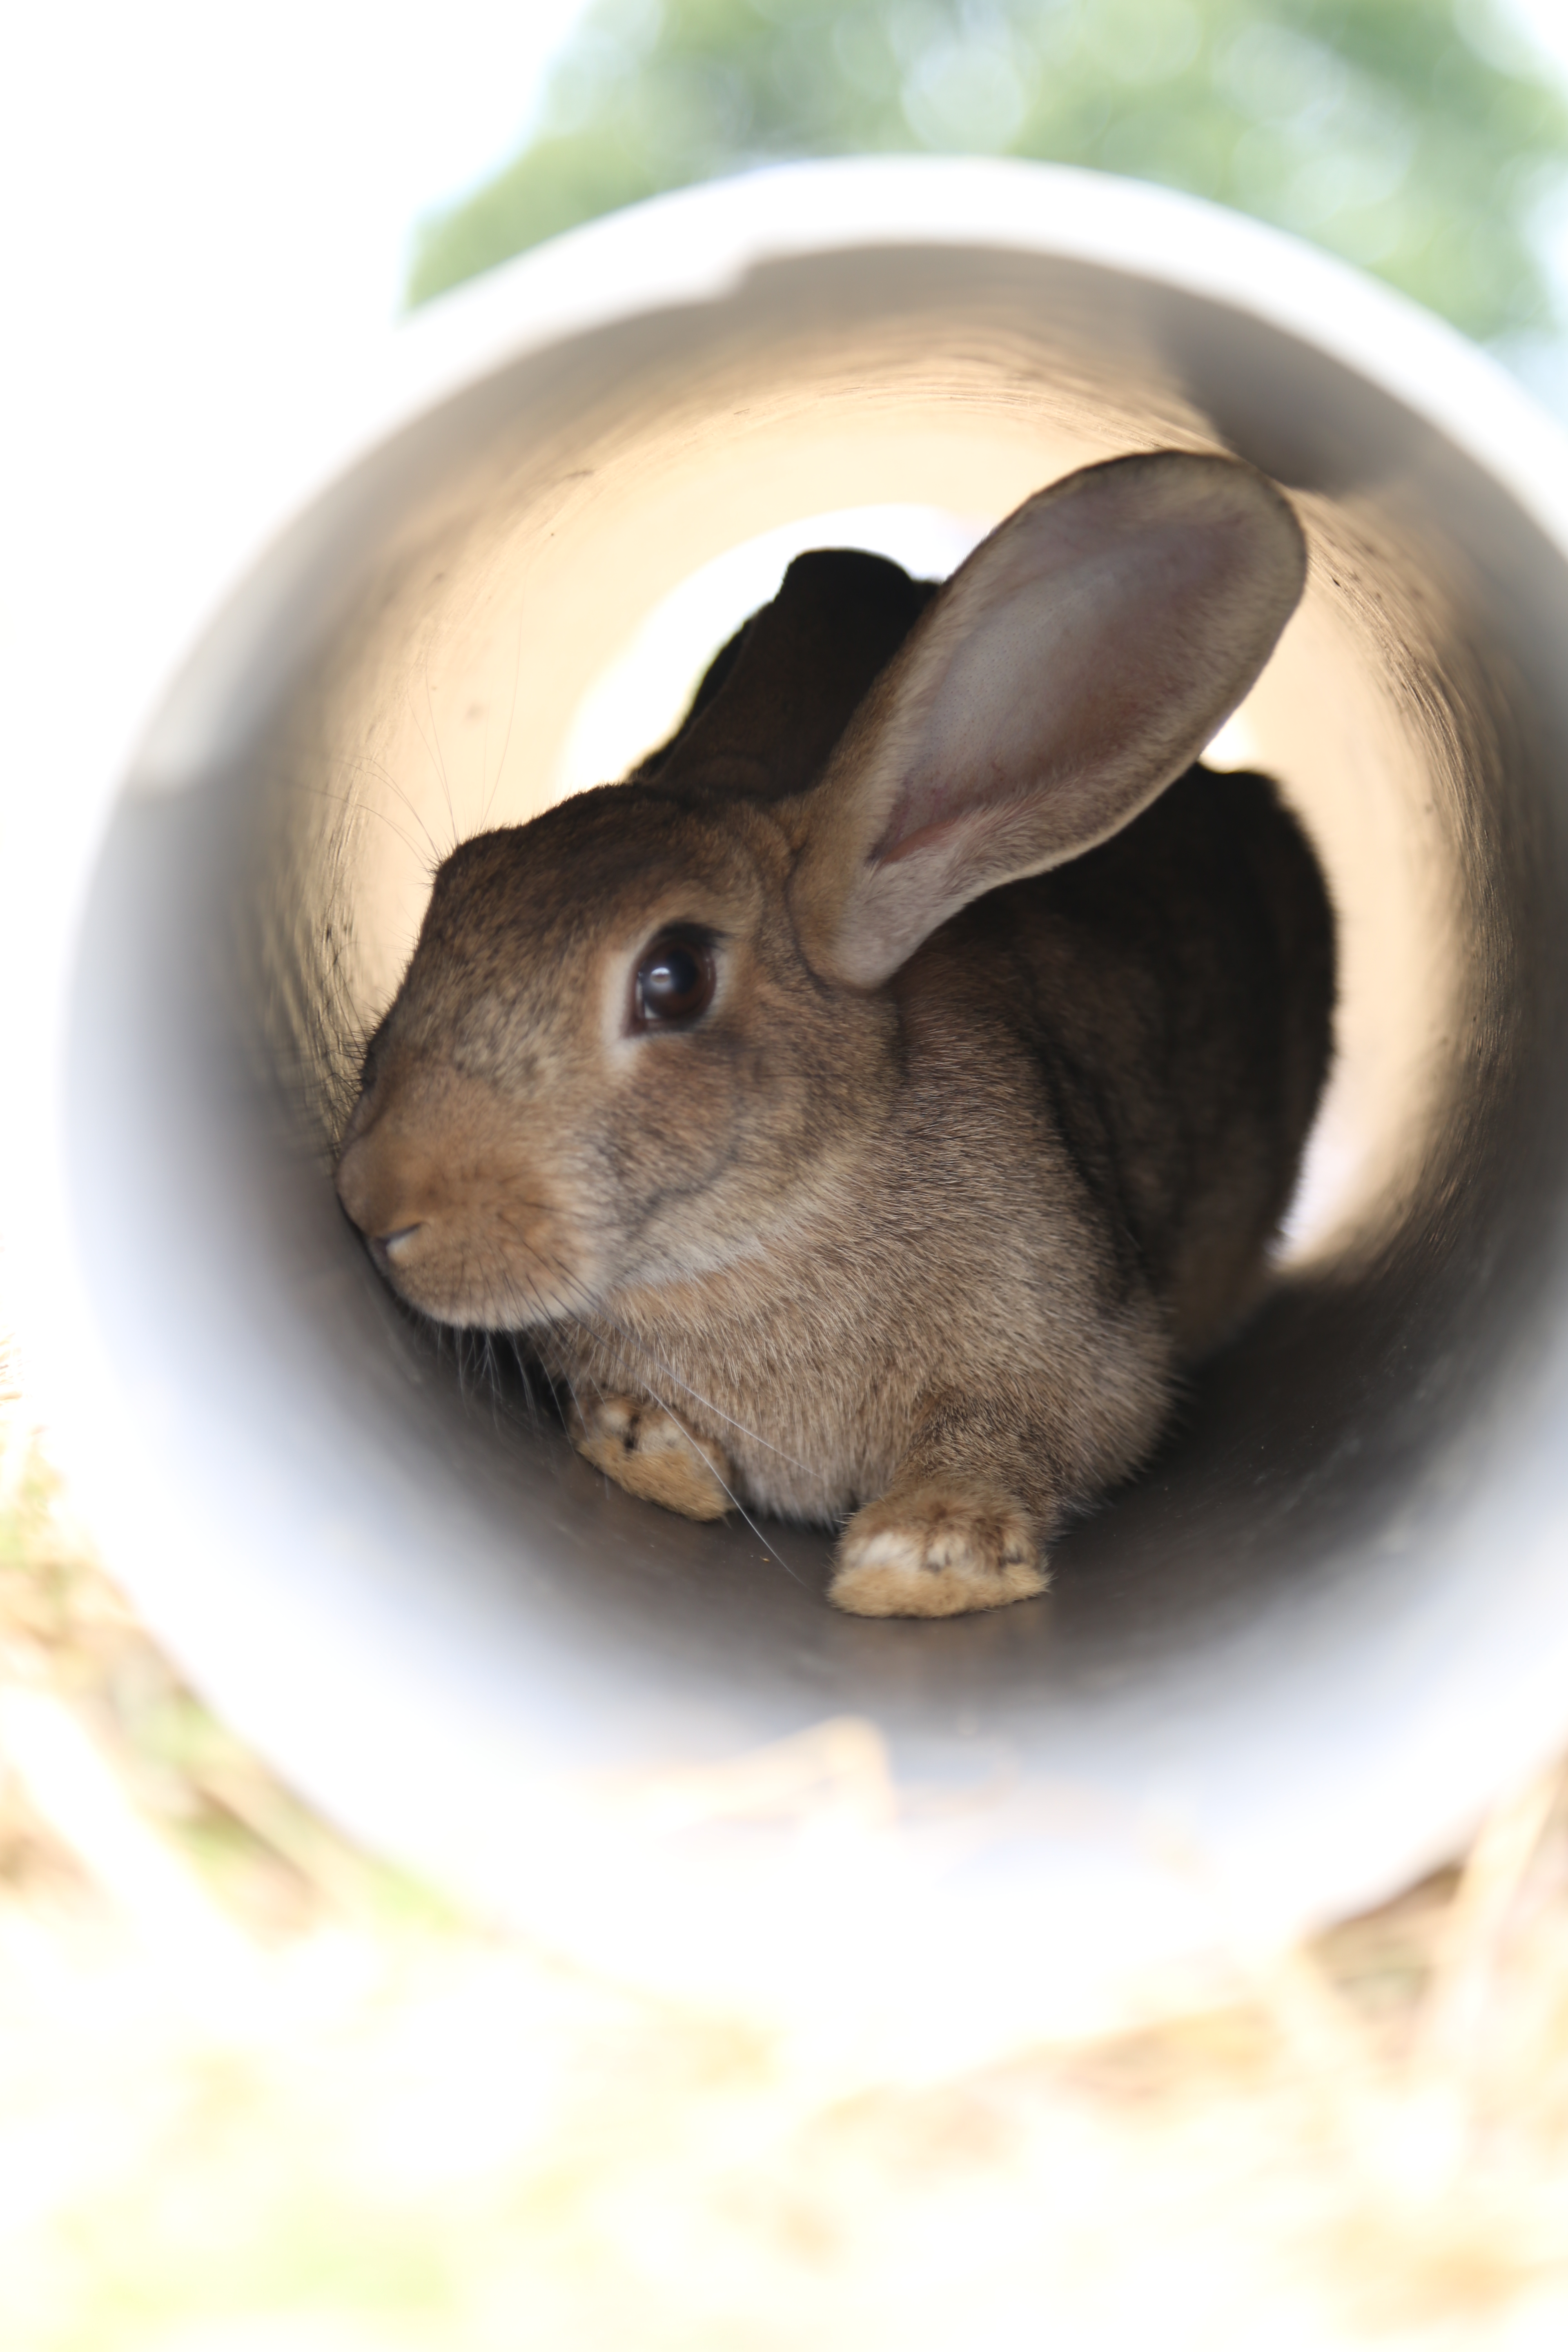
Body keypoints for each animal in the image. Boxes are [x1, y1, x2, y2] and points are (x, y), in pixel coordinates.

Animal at [334, 450, 1334, 1618]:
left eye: (674, 978)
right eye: (454, 884)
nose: (376, 1202)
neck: (770, 1228)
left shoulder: (1080, 1354)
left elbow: (1022, 1438)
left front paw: (924, 1561)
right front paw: (645, 1444)